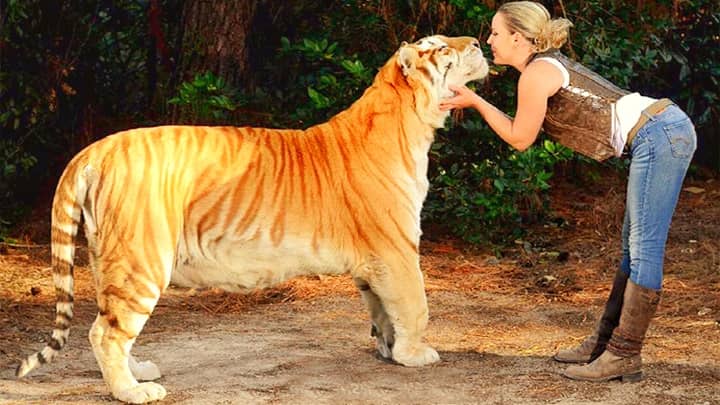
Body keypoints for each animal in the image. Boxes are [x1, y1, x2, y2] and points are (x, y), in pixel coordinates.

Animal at [15, 35, 488, 404]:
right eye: (443, 48)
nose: (480, 42)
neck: (412, 125)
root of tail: (94, 150)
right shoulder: (396, 251)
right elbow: (415, 304)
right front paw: (416, 356)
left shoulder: (374, 262)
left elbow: (383, 311)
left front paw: (391, 351)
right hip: (140, 260)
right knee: (106, 332)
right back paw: (132, 391)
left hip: (107, 257)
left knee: (112, 322)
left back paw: (140, 371)